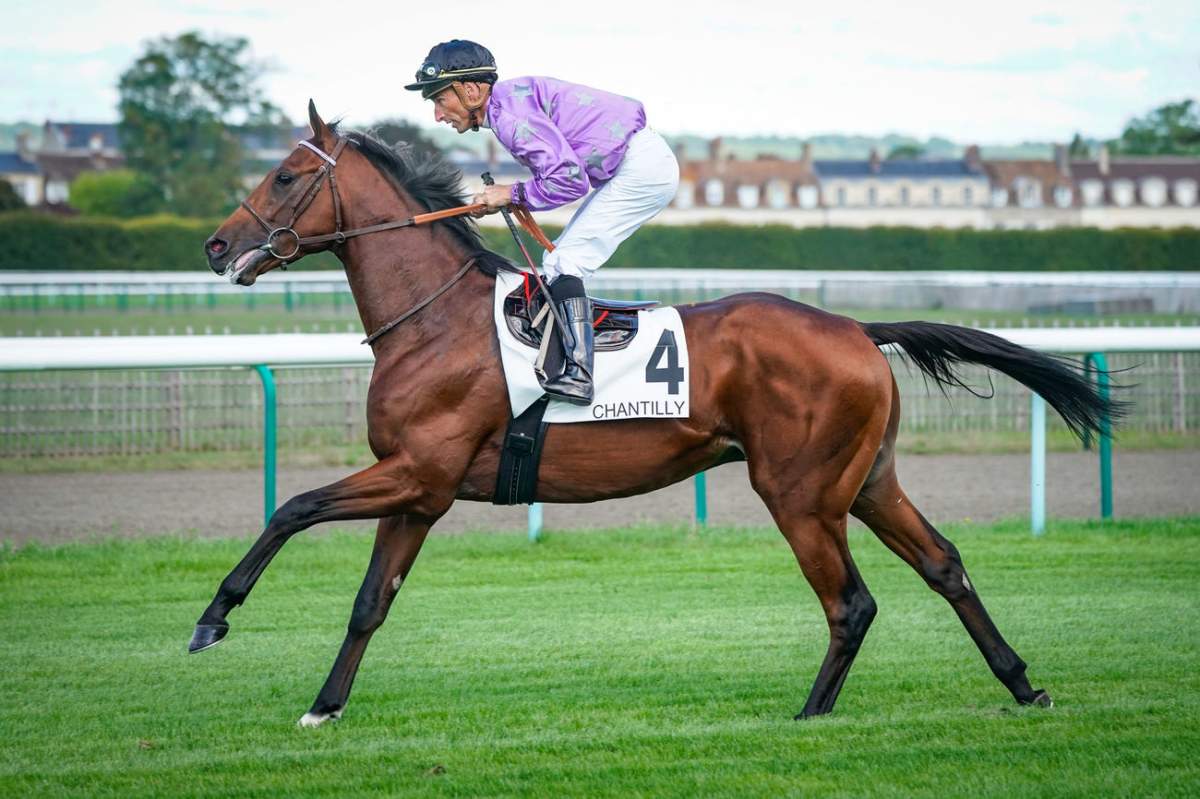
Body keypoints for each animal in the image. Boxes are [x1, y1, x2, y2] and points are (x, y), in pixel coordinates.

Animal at [196, 101, 1117, 727]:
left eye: (284, 175)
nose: (214, 245)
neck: (435, 320)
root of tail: (857, 326)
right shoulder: (421, 490)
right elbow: (369, 602)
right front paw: (323, 705)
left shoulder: (416, 471)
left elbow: (291, 507)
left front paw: (214, 618)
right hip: (868, 481)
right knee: (945, 564)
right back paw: (1022, 681)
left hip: (800, 492)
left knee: (851, 603)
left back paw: (811, 713)